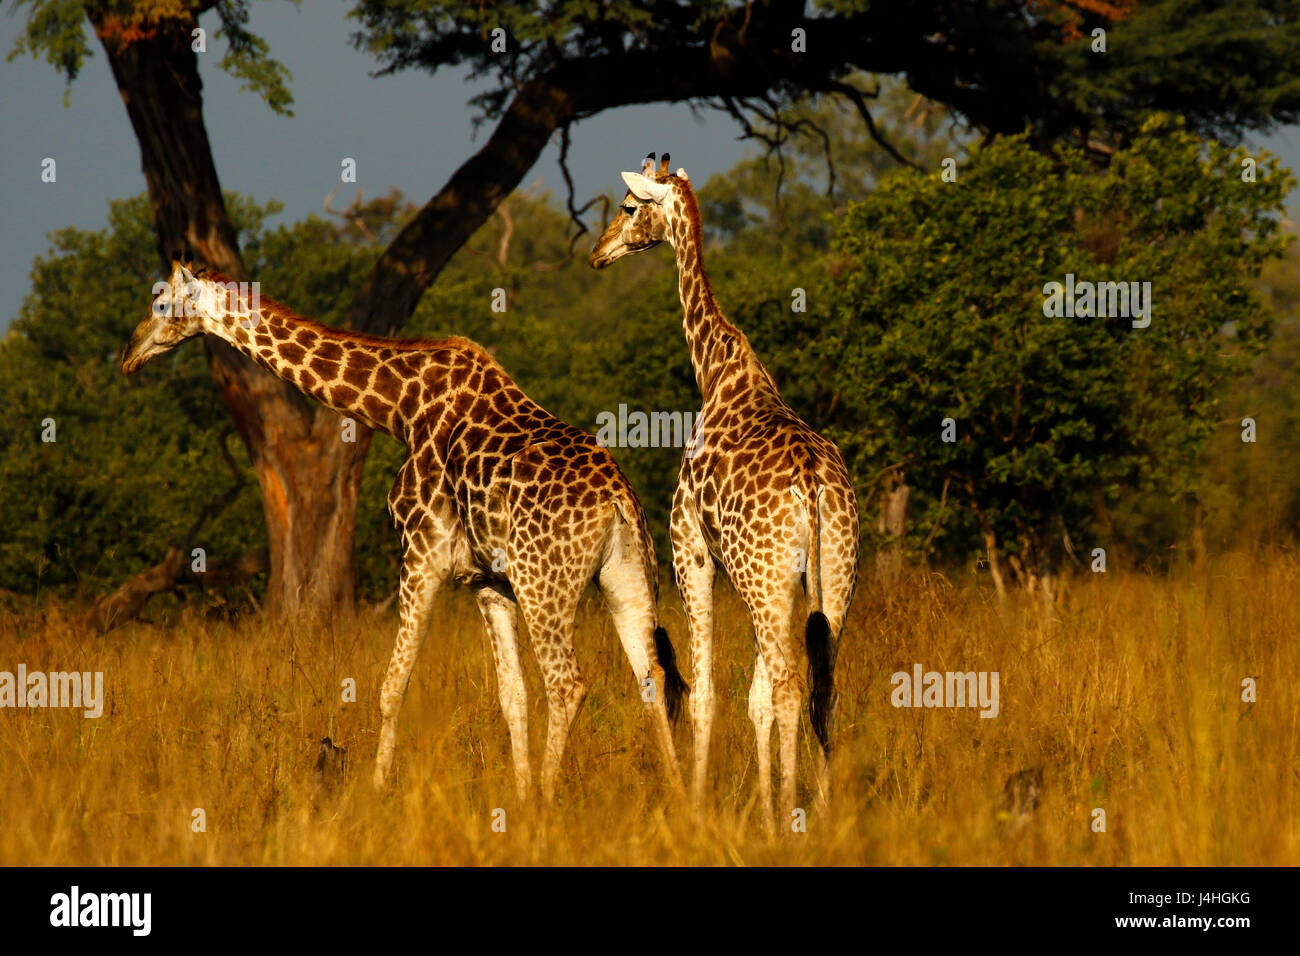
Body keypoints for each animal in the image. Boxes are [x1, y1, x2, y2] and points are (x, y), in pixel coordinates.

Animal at [121, 259, 688, 803]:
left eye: (162, 302)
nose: (129, 352)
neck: (398, 407)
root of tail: (616, 500)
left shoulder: (422, 553)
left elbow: (392, 687)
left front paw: (377, 793)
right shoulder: (488, 581)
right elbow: (512, 695)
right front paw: (521, 797)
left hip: (544, 581)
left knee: (568, 685)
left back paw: (555, 798)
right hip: (624, 575)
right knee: (652, 676)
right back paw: (677, 793)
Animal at [590, 154, 861, 827]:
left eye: (629, 208)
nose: (599, 253)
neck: (714, 370)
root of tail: (813, 486)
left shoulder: (692, 553)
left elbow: (708, 692)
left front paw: (699, 804)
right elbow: (753, 699)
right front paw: (760, 809)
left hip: (766, 579)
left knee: (790, 685)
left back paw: (794, 813)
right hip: (829, 577)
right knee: (822, 687)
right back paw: (821, 809)